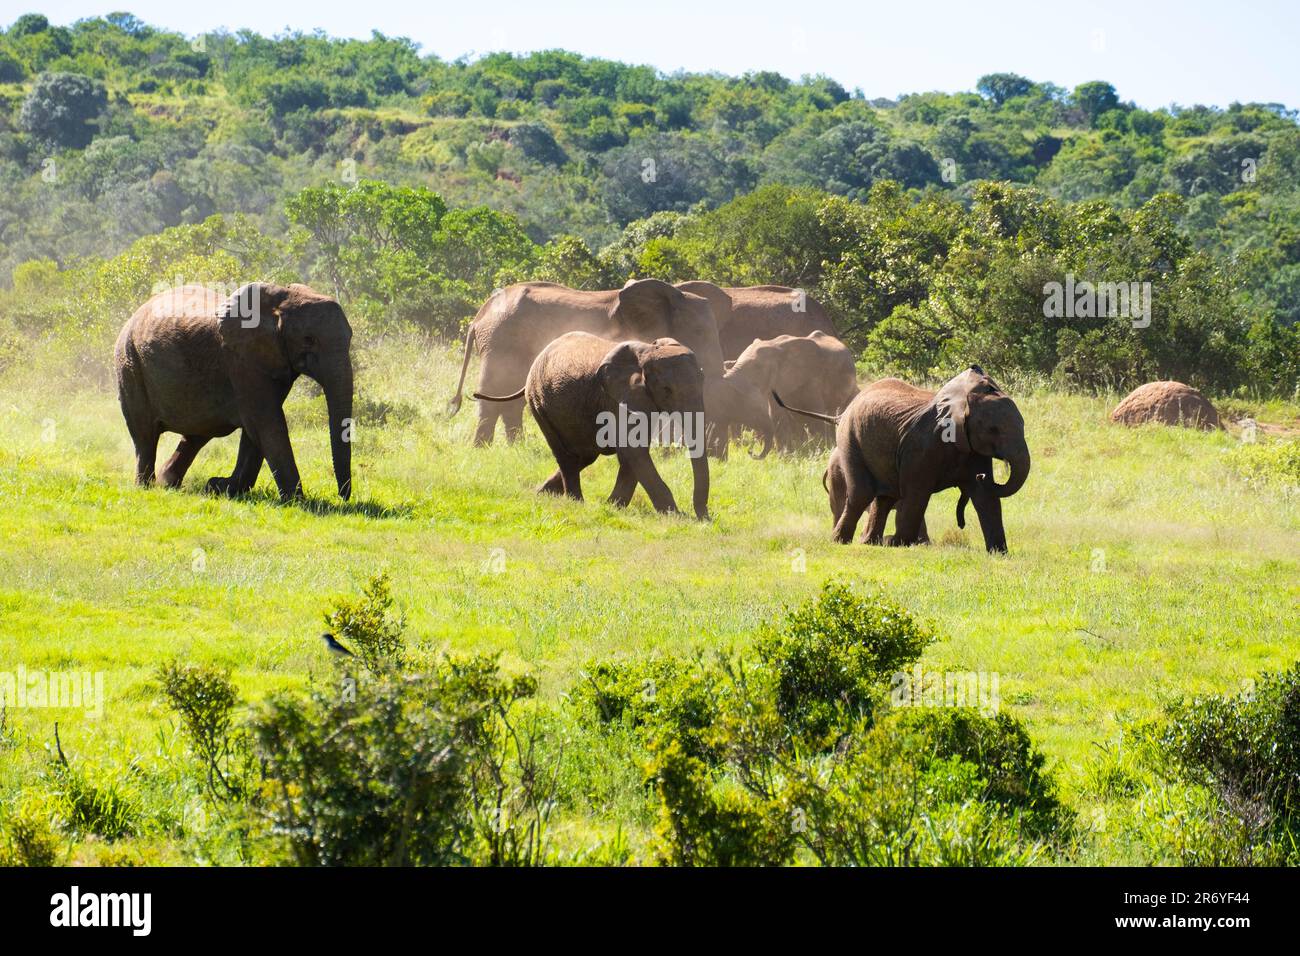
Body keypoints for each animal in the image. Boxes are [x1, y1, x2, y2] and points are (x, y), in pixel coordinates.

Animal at [114, 282, 354, 501]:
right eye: (309, 340)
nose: (341, 496)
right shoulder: (242, 360)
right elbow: (266, 422)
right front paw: (297, 502)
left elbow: (257, 428)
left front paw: (221, 487)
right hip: (129, 362)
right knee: (145, 434)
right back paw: (146, 486)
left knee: (197, 434)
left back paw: (169, 482)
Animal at [448, 279, 731, 447]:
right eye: (699, 332)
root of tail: (479, 316)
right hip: (500, 342)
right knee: (494, 394)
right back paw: (482, 449)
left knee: (509, 400)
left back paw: (517, 447)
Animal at [473, 331, 709, 519]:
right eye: (666, 390)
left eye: (702, 382)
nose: (705, 518)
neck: (647, 350)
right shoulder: (616, 398)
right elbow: (633, 450)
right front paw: (676, 516)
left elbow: (632, 453)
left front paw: (613, 507)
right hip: (539, 402)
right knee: (566, 456)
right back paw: (574, 502)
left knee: (584, 455)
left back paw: (541, 493)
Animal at [723, 330, 857, 450]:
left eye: (757, 367)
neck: (775, 346)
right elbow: (777, 415)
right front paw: (786, 455)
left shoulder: (812, 378)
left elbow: (814, 412)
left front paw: (822, 448)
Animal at [779, 366, 1029, 553]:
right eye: (993, 429)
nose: (983, 475)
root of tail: (845, 410)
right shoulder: (922, 446)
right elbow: (917, 493)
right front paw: (898, 544)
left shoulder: (972, 449)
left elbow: (985, 496)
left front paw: (999, 552)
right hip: (850, 440)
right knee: (862, 494)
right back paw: (842, 541)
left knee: (885, 497)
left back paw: (870, 542)